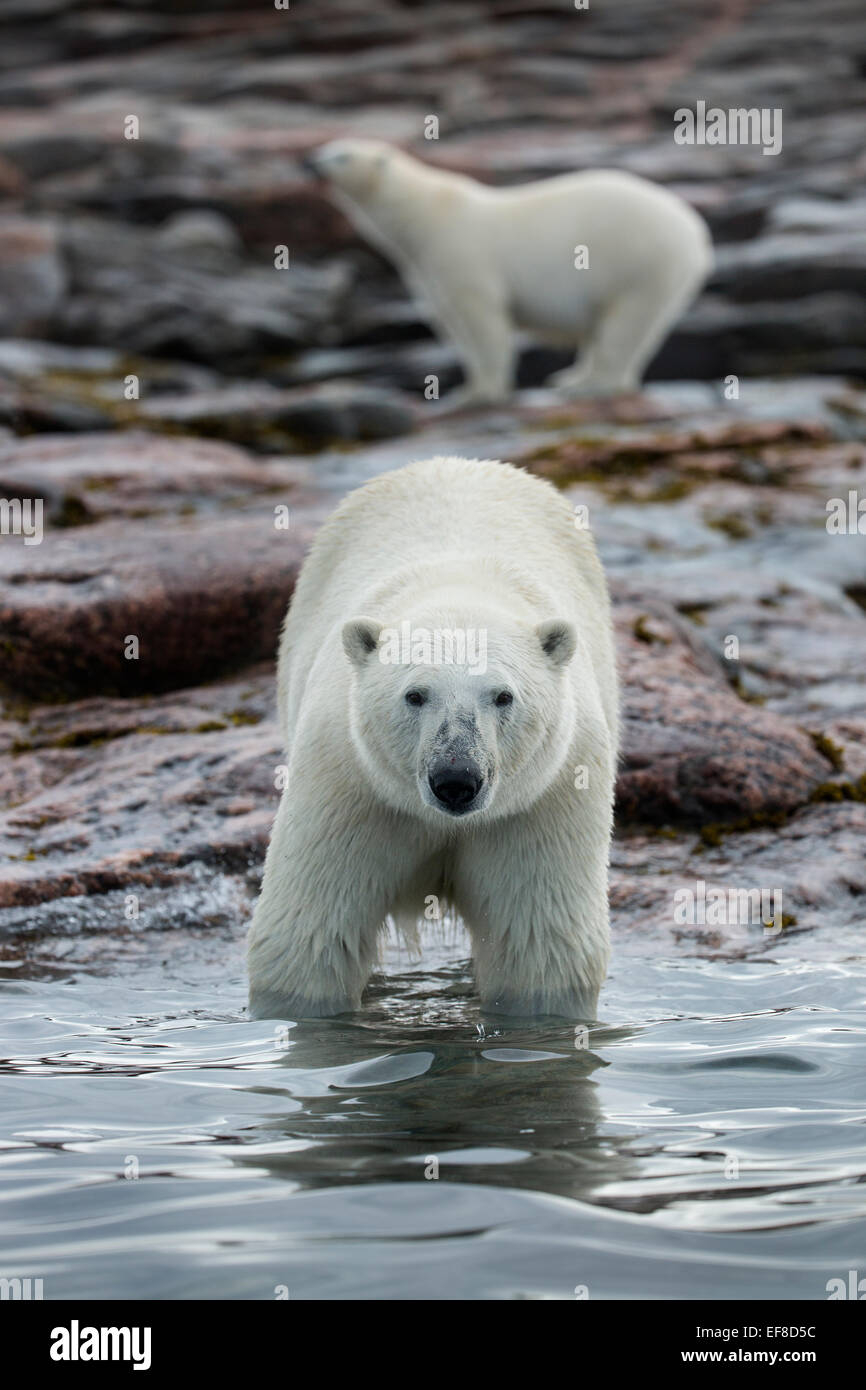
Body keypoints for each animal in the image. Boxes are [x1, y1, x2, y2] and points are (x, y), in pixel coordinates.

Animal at [247, 455, 619, 1021]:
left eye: (503, 696)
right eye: (415, 695)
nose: (456, 780)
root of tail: (455, 462)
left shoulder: (541, 799)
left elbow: (539, 945)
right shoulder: (351, 782)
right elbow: (310, 935)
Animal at [304, 138, 713, 404]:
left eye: (341, 155)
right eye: (327, 147)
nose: (310, 162)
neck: (427, 215)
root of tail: (694, 230)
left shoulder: (459, 252)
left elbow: (481, 319)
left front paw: (485, 392)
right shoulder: (425, 270)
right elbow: (452, 322)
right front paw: (468, 388)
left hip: (637, 260)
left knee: (624, 323)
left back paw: (590, 385)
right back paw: (573, 376)